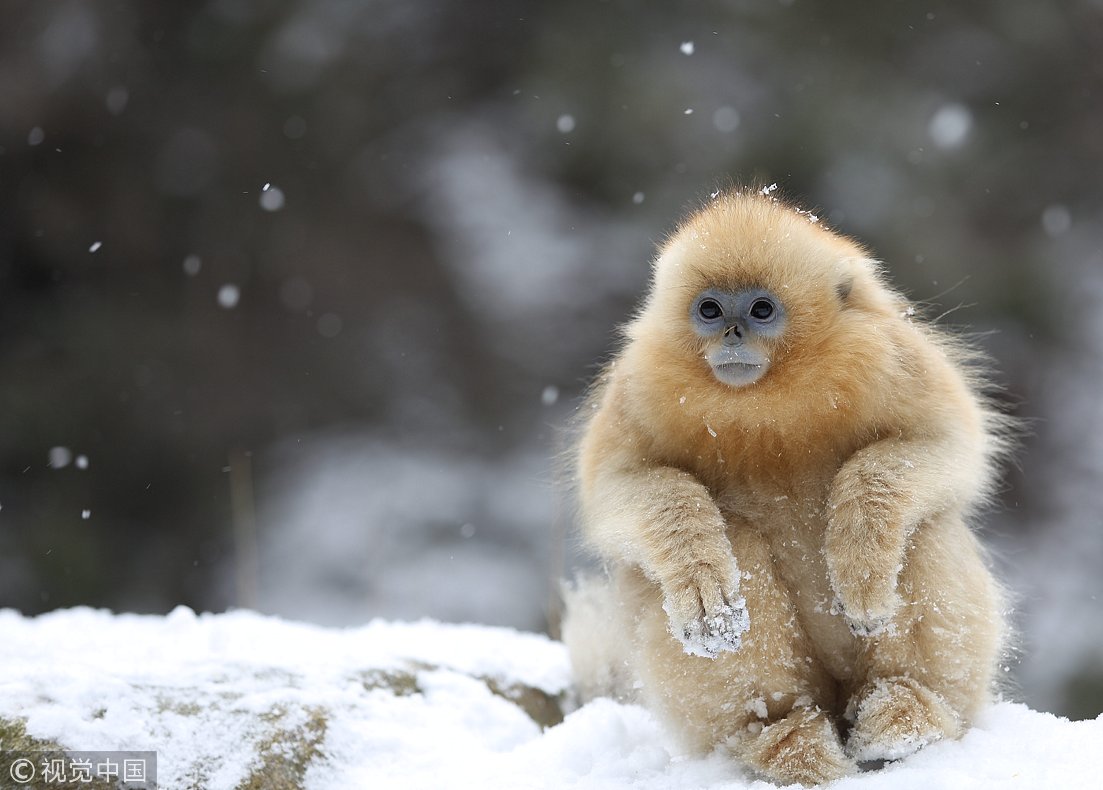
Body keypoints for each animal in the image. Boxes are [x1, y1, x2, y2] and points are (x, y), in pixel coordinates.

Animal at [562, 189, 1009, 786]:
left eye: (760, 310)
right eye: (710, 310)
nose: (732, 334)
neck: (767, 396)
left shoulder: (894, 354)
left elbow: (951, 446)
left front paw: (859, 559)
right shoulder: (638, 385)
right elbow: (617, 491)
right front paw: (699, 582)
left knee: (924, 531)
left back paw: (906, 716)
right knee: (734, 546)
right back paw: (785, 741)